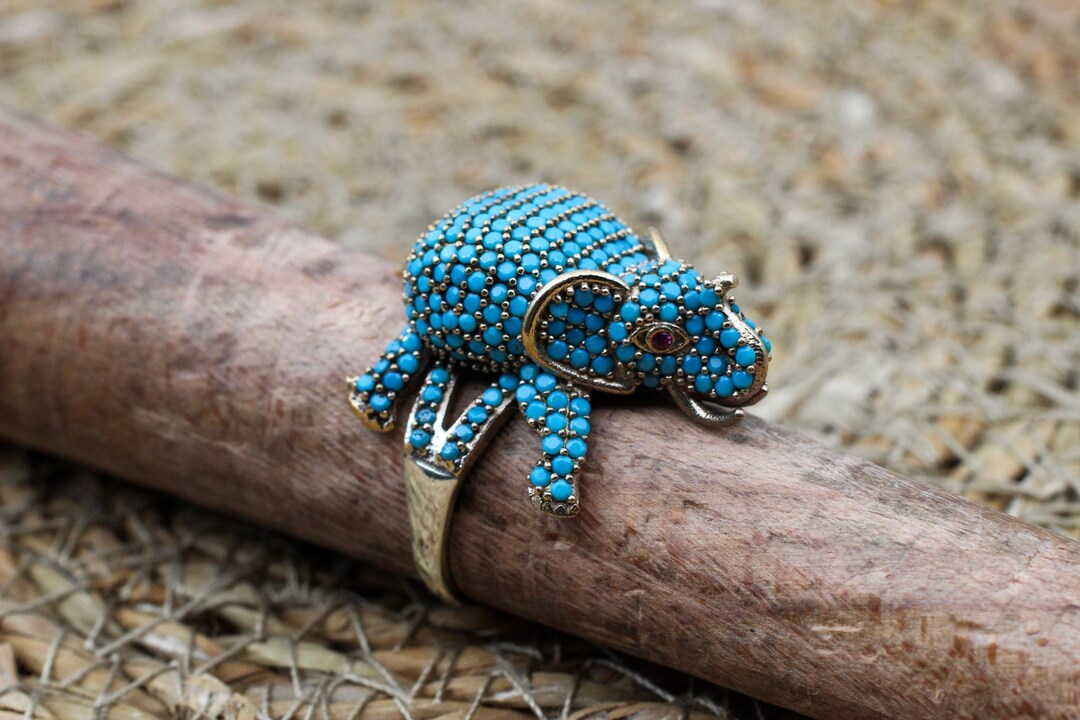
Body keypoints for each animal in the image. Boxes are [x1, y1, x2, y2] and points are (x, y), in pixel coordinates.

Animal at [349, 184, 771, 517]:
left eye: (730, 297)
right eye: (663, 340)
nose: (761, 360)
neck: (619, 271)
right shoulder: (550, 362)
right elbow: (556, 410)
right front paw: (557, 503)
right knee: (411, 346)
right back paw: (369, 411)